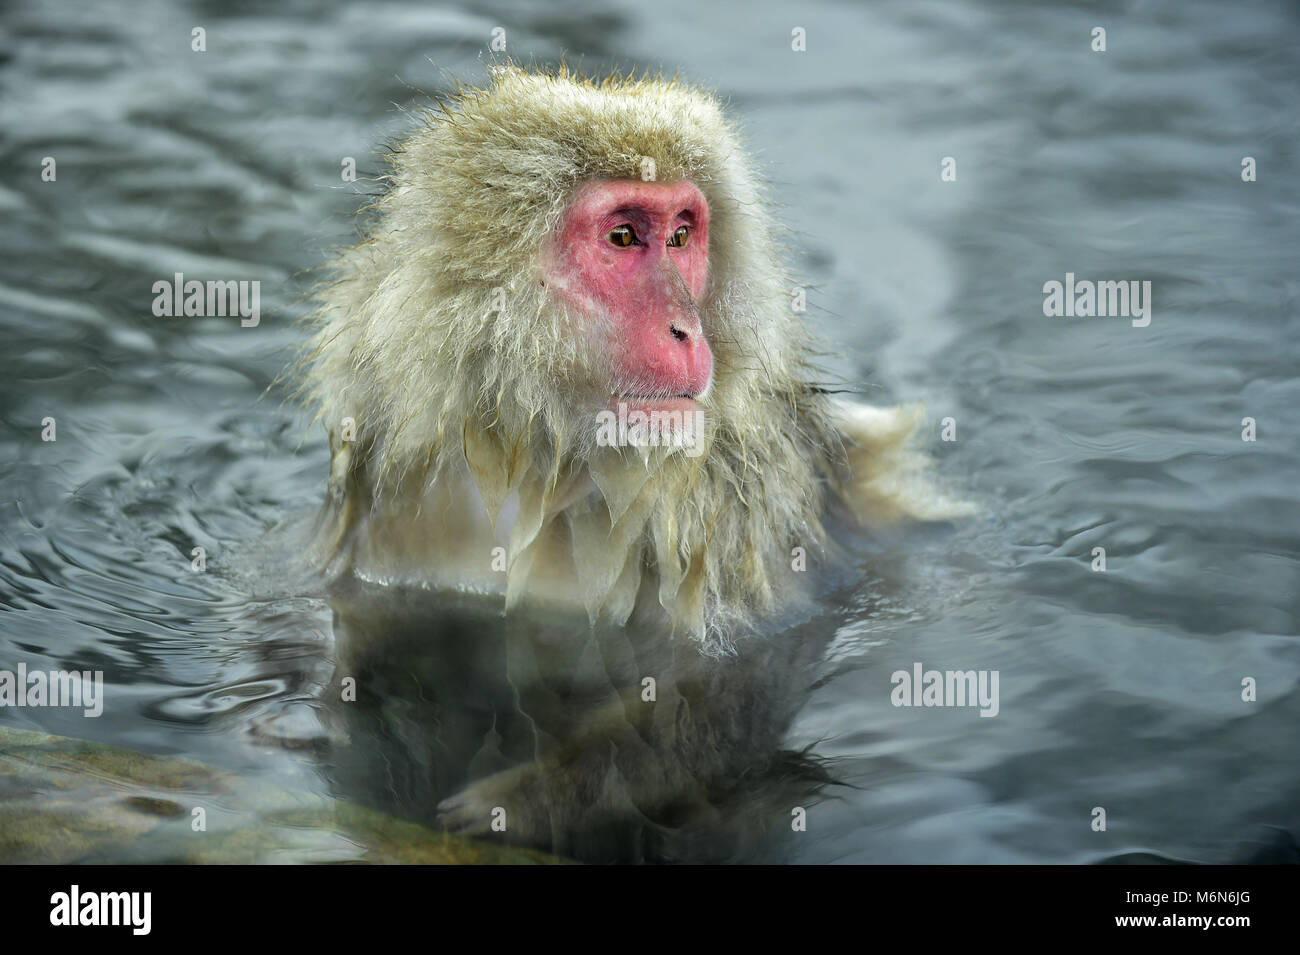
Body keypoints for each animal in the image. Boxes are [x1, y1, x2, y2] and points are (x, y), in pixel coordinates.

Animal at [297, 65, 967, 860]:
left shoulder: (731, 510)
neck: (545, 458)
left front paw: (521, 803)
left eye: (681, 235)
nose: (687, 328)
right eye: (623, 236)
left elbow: (736, 684)